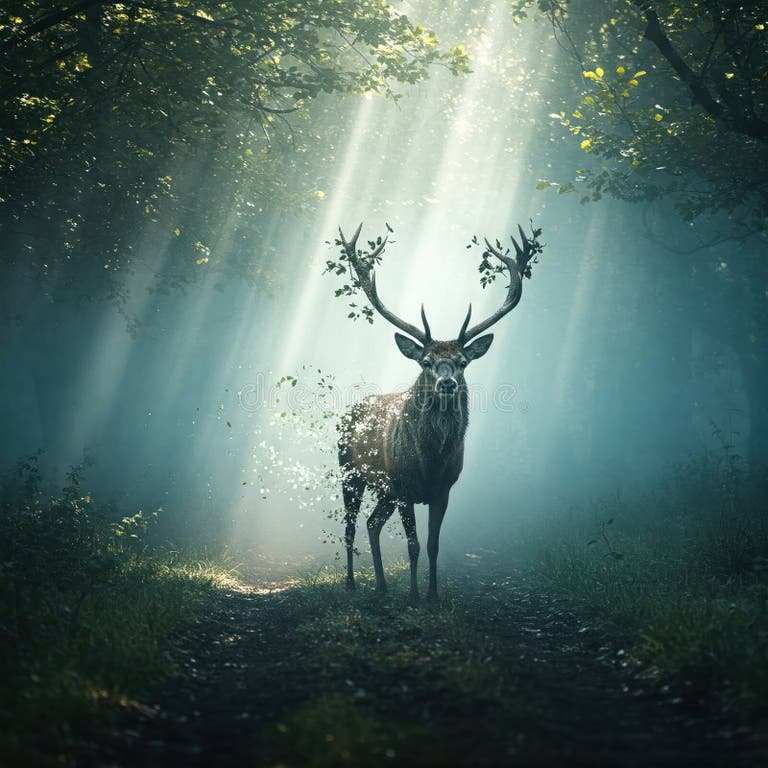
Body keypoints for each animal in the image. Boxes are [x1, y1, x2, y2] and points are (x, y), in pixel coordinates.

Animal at [336, 223, 539, 603]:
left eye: (462, 362)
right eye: (427, 361)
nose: (447, 383)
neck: (430, 461)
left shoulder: (442, 490)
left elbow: (433, 546)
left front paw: (432, 595)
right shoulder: (405, 487)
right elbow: (414, 545)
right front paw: (414, 596)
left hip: (384, 490)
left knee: (372, 523)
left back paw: (382, 585)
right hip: (349, 472)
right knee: (351, 526)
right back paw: (352, 583)